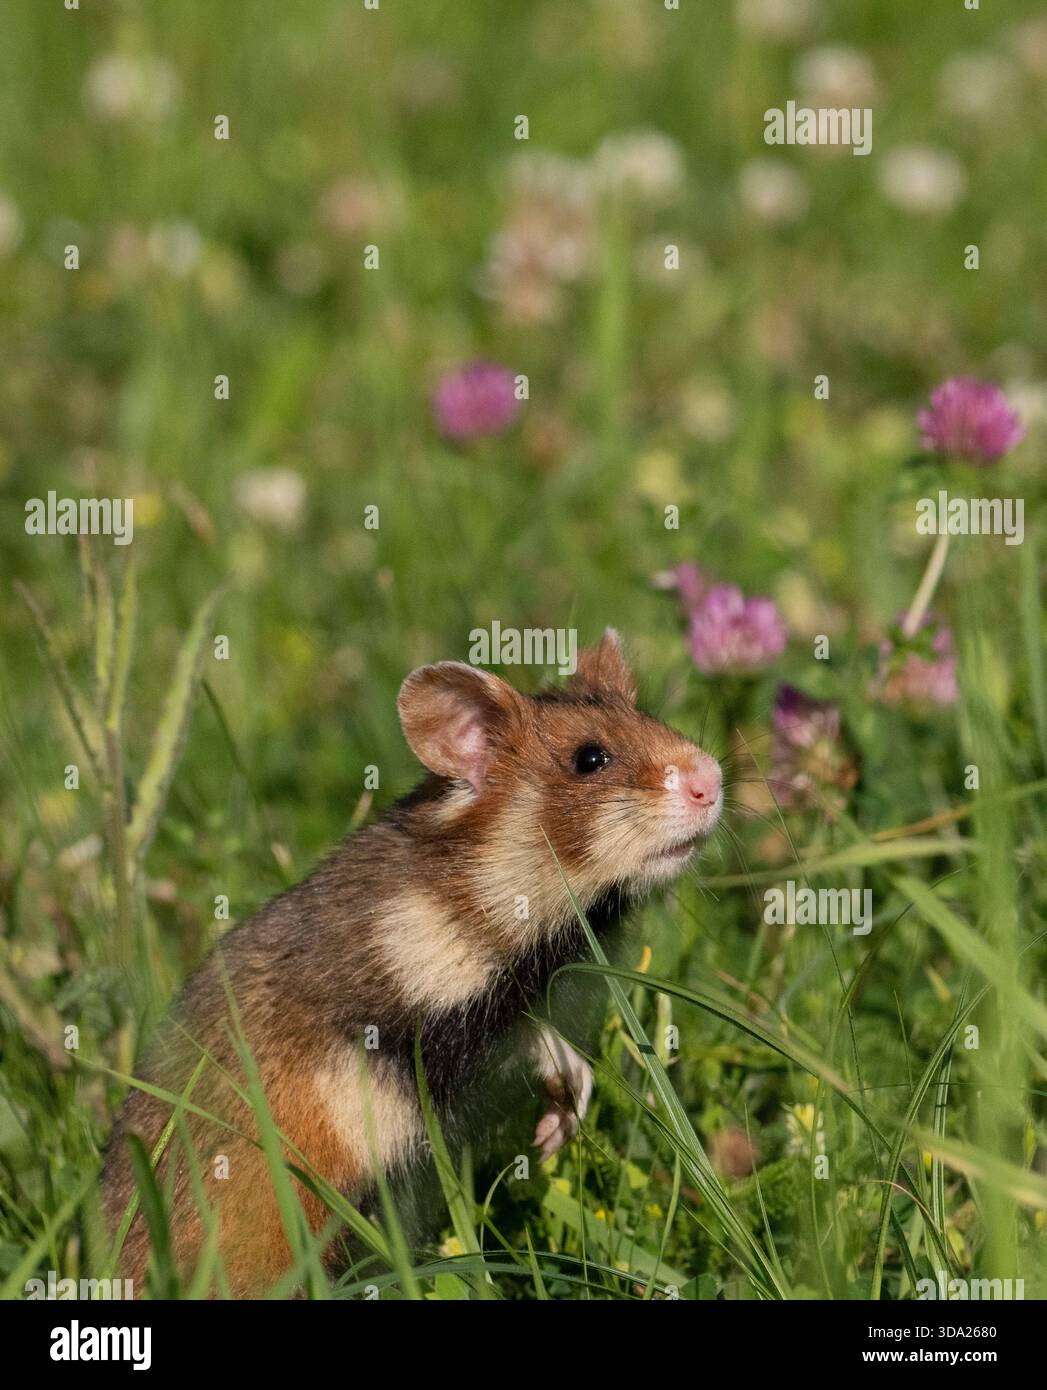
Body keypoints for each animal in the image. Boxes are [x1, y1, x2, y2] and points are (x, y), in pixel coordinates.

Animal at [102, 630, 723, 1296]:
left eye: (648, 715)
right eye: (590, 759)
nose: (712, 781)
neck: (478, 892)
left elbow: (552, 1044)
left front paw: (559, 1128)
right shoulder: (418, 1027)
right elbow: (523, 1042)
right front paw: (554, 1130)